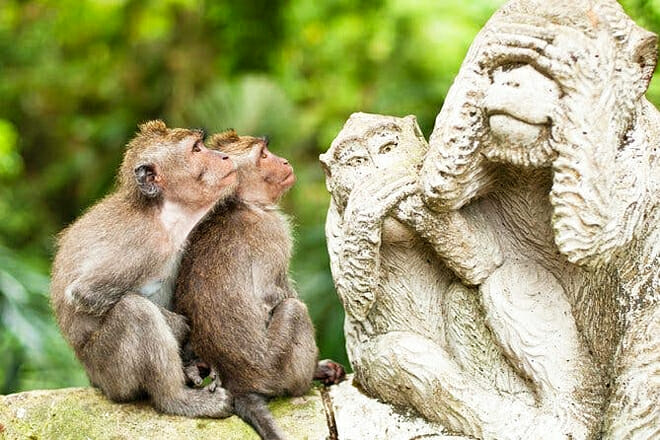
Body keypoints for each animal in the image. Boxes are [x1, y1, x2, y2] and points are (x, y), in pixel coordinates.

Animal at [50, 120, 236, 418]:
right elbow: (85, 293)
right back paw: (178, 400)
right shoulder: (145, 243)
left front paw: (193, 360)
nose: (224, 157)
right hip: (110, 373)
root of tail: (93, 379)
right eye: (196, 149)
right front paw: (181, 329)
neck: (163, 214)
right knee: (136, 312)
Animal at [175, 130, 345, 440]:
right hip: (273, 367)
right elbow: (272, 293)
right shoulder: (273, 230)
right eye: (263, 155)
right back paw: (306, 379)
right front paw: (320, 366)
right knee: (293, 310)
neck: (242, 203)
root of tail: (239, 383)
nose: (284, 161)